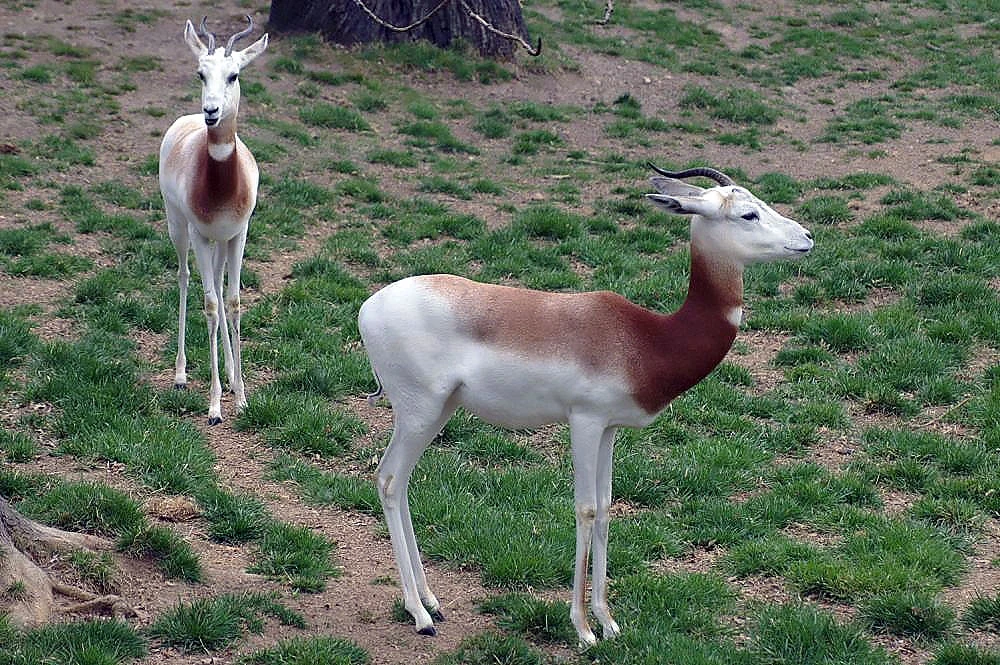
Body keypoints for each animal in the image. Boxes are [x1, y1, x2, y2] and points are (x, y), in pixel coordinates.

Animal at [159, 16, 267, 425]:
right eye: (200, 73)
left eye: (234, 74)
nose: (211, 111)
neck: (221, 183)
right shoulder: (201, 236)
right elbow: (208, 306)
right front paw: (215, 404)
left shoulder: (239, 234)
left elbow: (232, 302)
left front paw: (242, 396)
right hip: (179, 228)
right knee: (185, 278)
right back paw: (180, 374)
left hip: (221, 243)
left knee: (221, 293)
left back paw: (232, 377)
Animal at [358, 165, 814, 645]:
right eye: (748, 214)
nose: (806, 237)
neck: (646, 340)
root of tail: (368, 307)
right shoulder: (585, 421)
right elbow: (586, 508)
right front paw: (582, 628)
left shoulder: (610, 428)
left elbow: (608, 507)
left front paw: (608, 621)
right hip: (419, 411)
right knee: (389, 479)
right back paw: (418, 614)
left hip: (440, 411)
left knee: (403, 482)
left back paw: (431, 601)